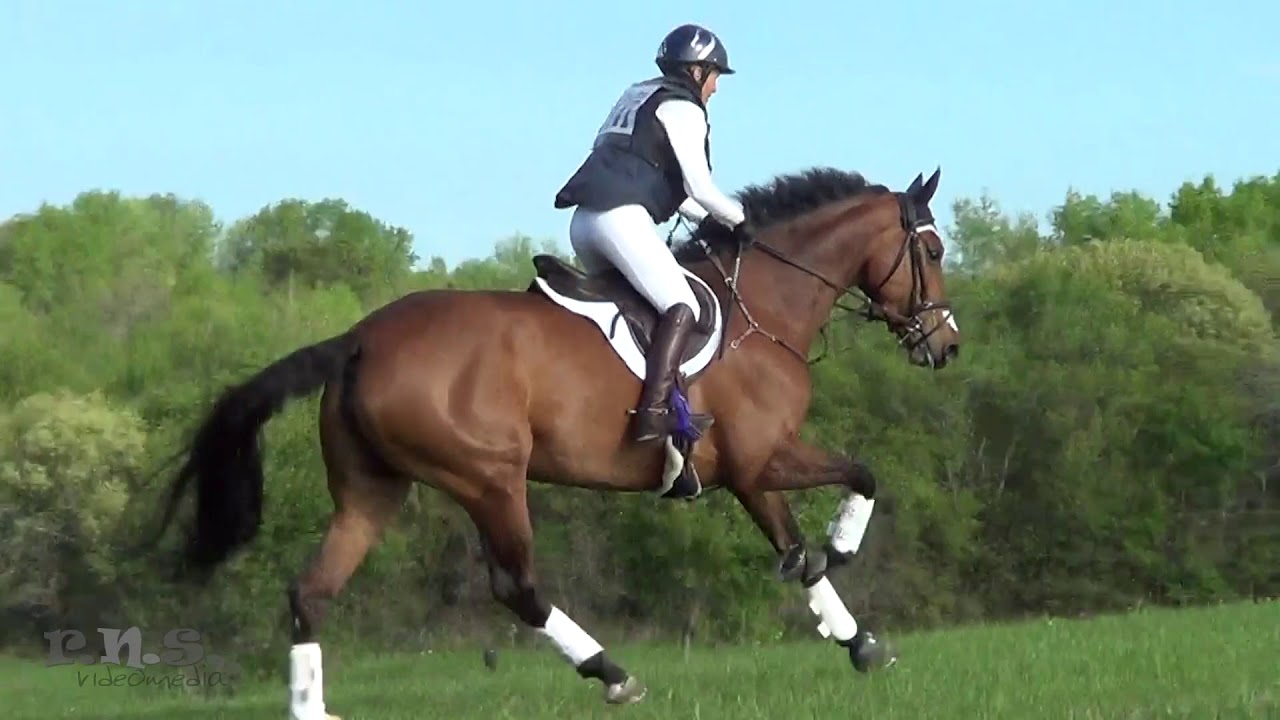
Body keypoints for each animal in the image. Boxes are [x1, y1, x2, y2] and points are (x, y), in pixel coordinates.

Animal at [150, 165, 961, 720]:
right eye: (933, 250)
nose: (946, 346)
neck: (764, 305)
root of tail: (358, 340)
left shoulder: (747, 470)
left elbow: (804, 544)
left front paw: (858, 640)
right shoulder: (762, 457)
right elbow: (855, 486)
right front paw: (847, 558)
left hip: (372, 490)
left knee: (311, 591)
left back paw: (314, 709)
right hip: (490, 479)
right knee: (518, 587)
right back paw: (614, 674)